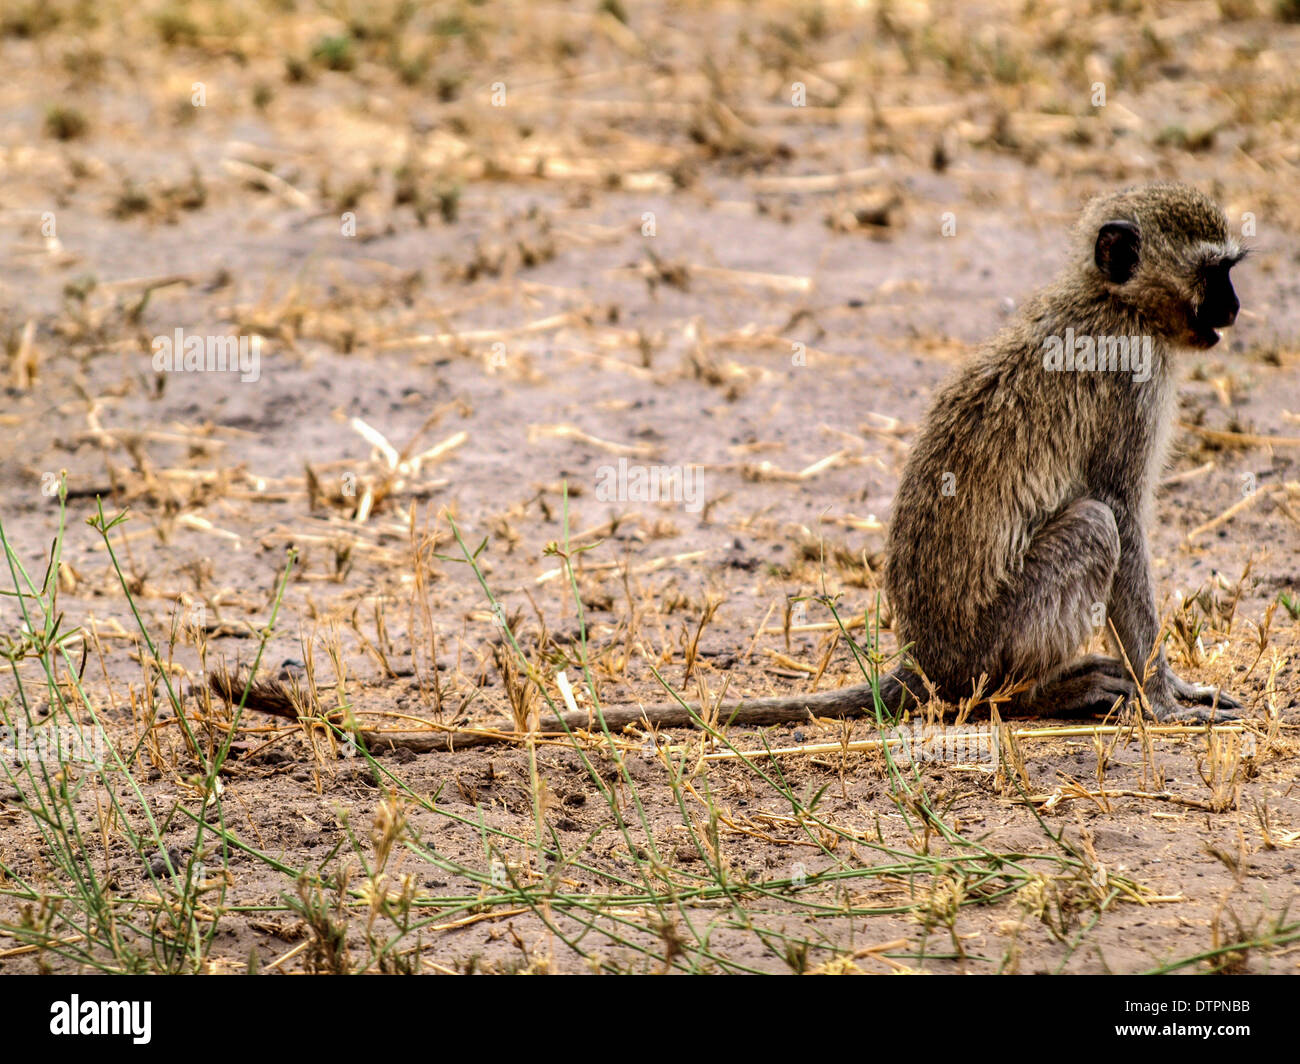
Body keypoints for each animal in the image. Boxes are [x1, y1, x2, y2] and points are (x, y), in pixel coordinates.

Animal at [215, 183, 1247, 751]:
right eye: (1217, 271)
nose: (1237, 311)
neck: (1109, 300)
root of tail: (927, 663)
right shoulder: (1132, 383)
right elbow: (1124, 518)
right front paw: (1167, 699)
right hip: (990, 649)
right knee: (1090, 535)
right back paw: (1049, 693)